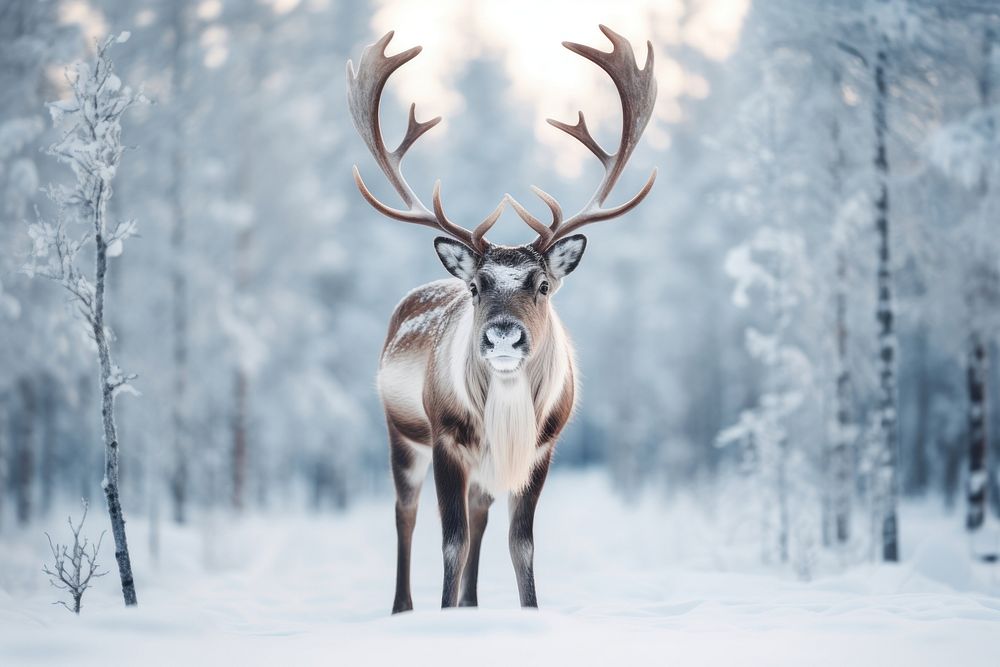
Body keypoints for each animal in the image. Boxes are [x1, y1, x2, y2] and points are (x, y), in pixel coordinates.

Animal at [346, 25, 656, 613]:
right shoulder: (446, 437)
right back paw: (404, 607)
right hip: (401, 433)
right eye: (476, 286)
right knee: (406, 514)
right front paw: (443, 613)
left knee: (480, 517)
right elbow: (450, 541)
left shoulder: (541, 449)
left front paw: (525, 611)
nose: (503, 335)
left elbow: (520, 543)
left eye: (543, 284)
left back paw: (470, 604)